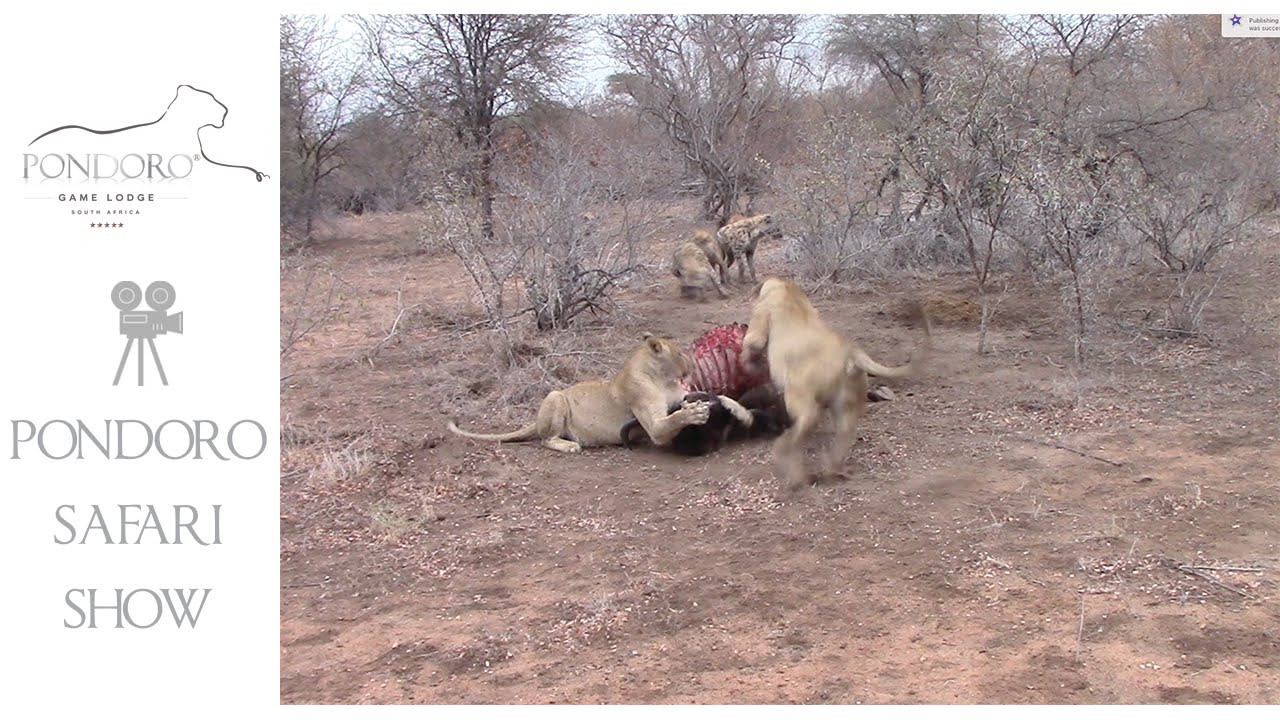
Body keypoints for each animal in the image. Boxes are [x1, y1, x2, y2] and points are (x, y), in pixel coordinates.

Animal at [447, 333, 716, 453]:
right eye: (680, 353)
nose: (693, 365)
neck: (663, 380)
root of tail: (535, 421)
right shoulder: (655, 428)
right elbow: (671, 420)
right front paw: (694, 414)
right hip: (556, 396)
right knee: (545, 439)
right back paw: (569, 446)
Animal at [742, 277, 931, 490]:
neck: (788, 290)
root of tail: (851, 353)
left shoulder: (760, 319)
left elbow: (752, 343)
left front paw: (748, 363)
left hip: (798, 394)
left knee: (805, 424)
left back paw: (787, 458)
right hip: (845, 404)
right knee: (844, 434)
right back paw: (833, 467)